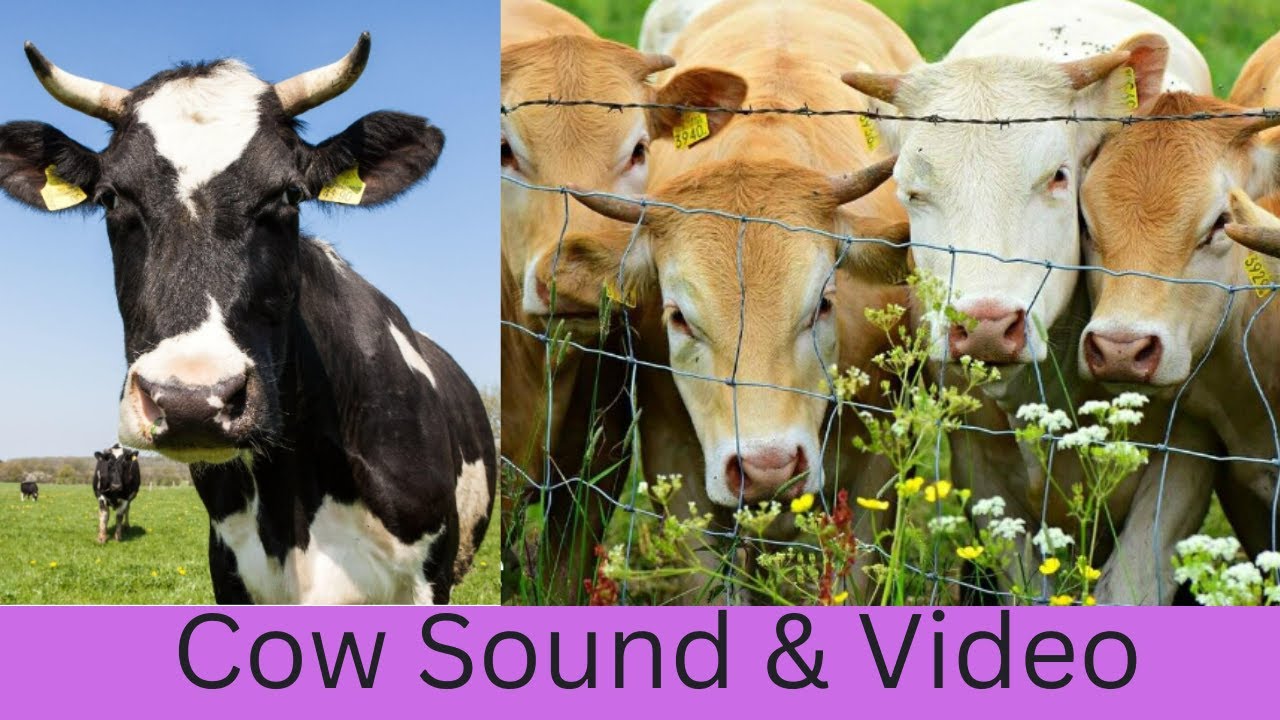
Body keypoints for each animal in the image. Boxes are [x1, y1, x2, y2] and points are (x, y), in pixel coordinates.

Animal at [0, 35, 495, 604]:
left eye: (288, 194)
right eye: (111, 198)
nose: (191, 402)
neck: (293, 504)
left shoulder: (431, 575)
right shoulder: (228, 570)